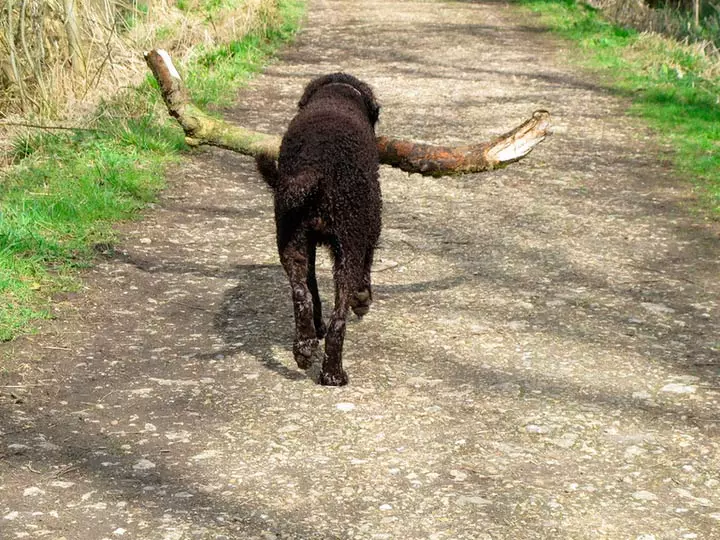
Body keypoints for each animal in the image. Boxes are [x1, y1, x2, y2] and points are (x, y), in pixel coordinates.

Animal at [258, 74, 382, 386]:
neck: (335, 97)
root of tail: (314, 172)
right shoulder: (370, 229)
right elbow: (367, 270)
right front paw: (363, 300)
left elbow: (312, 288)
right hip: (349, 245)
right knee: (339, 318)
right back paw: (333, 374)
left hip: (292, 244)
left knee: (301, 295)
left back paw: (305, 348)